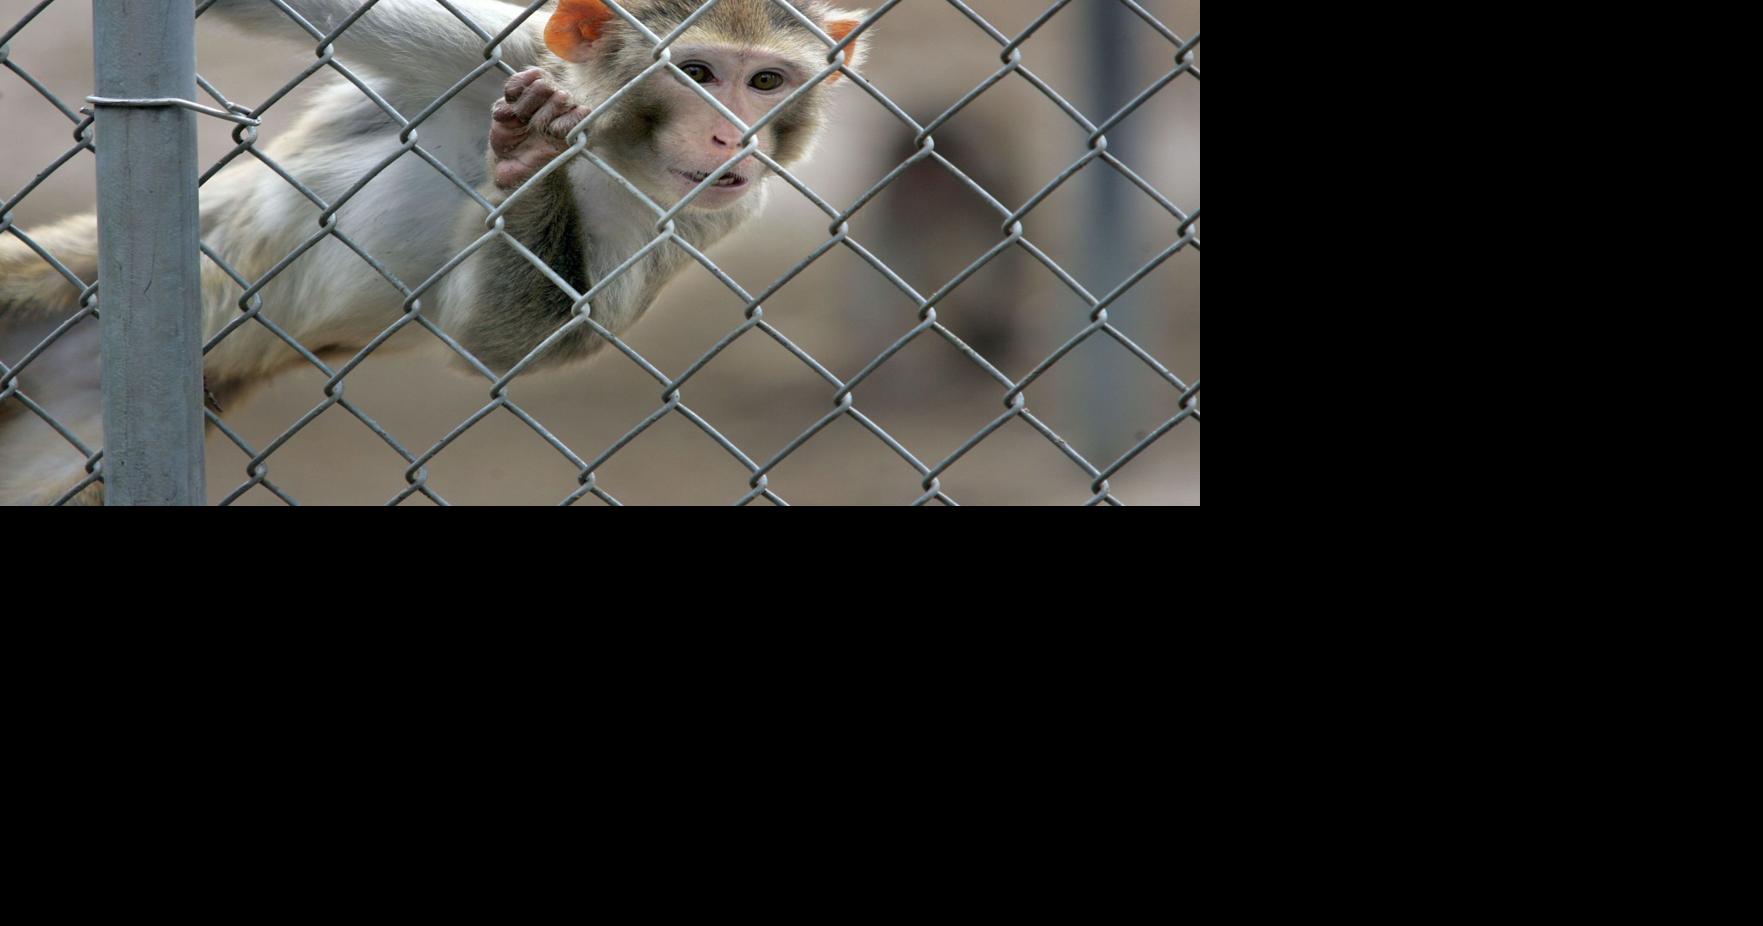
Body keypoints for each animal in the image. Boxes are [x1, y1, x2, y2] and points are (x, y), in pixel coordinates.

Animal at [0, 0, 870, 504]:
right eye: (695, 72)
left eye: (766, 82)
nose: (734, 138)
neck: (607, 137)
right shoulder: (489, 44)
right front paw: (534, 145)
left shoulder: (712, 211)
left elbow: (499, 346)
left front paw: (529, 158)